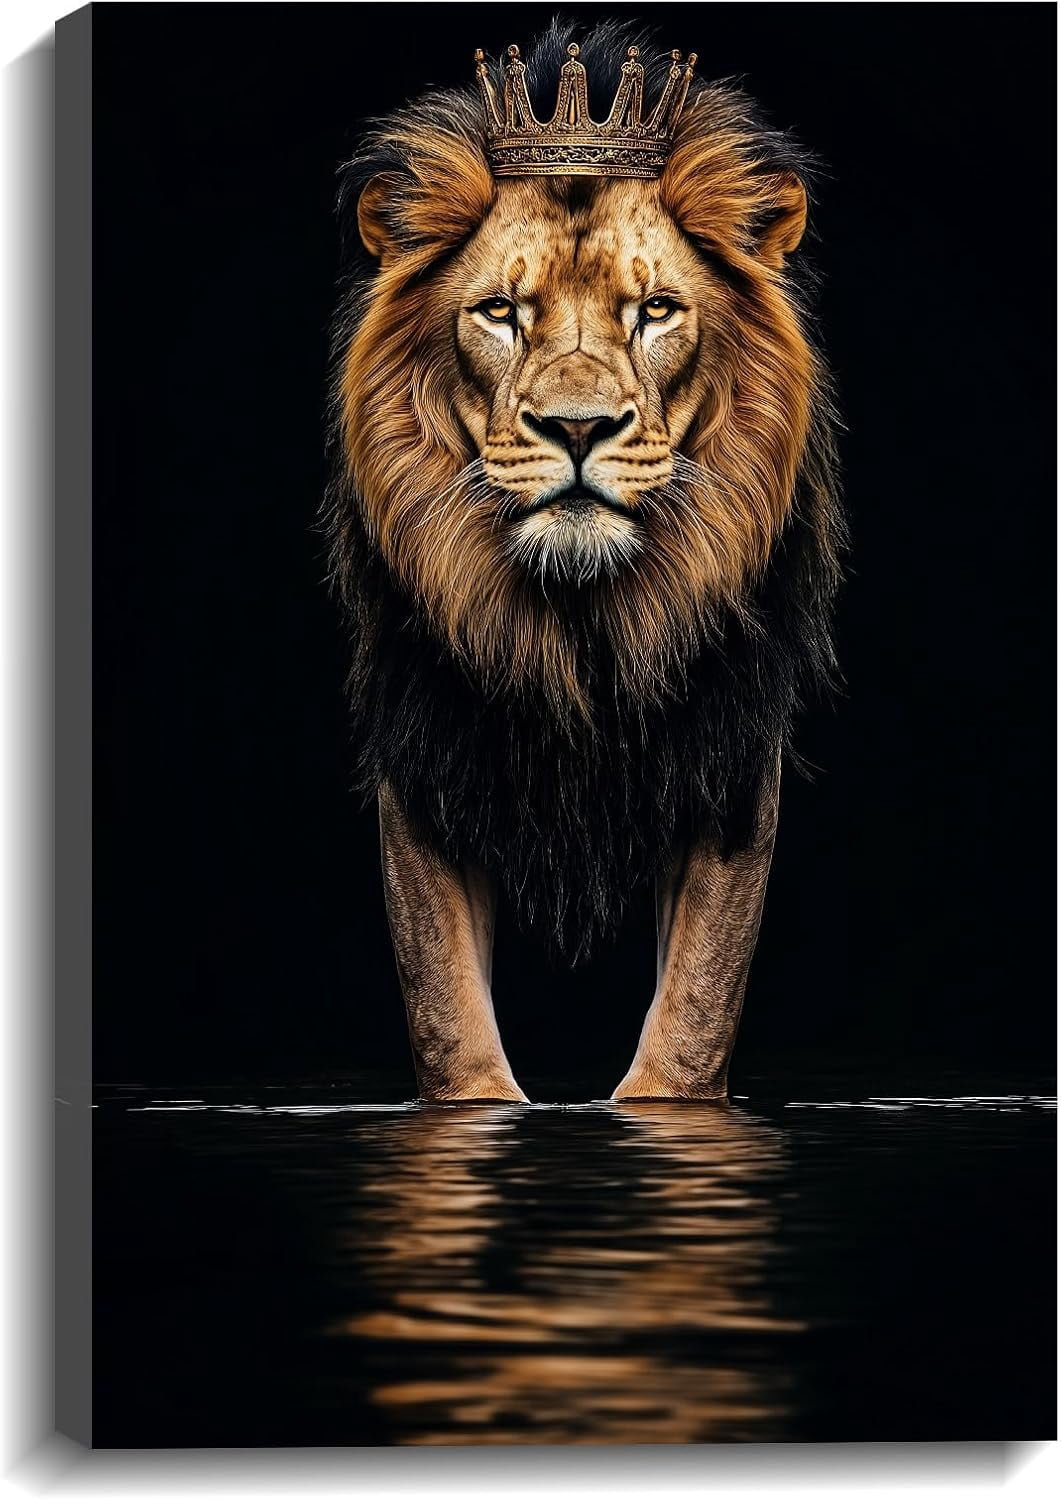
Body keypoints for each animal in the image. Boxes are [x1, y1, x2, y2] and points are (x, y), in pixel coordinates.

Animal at [325, 21, 843, 1103]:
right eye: (497, 312)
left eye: (654, 311)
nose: (575, 428)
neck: (579, 625)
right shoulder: (424, 755)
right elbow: (445, 1009)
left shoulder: (728, 765)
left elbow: (694, 1008)